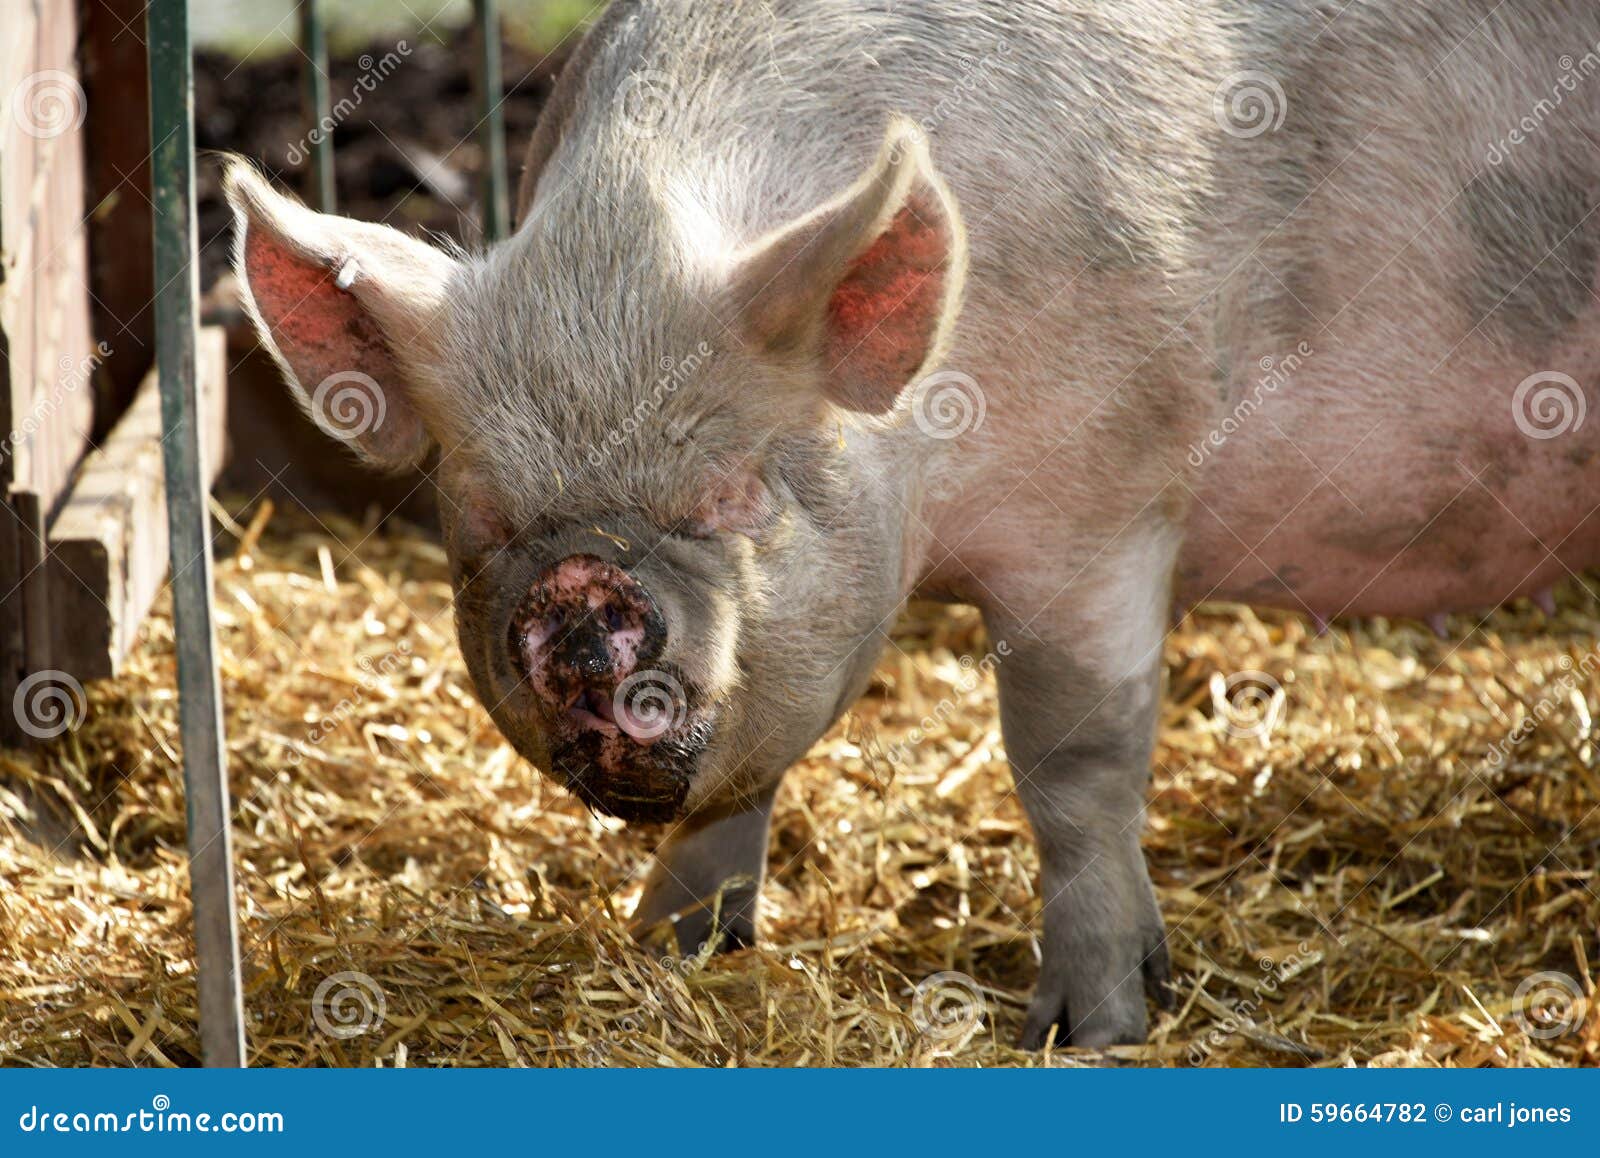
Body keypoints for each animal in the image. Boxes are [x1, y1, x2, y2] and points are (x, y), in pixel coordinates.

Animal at [226, 0, 1600, 1048]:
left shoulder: (1106, 503)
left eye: (738, 485)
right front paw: (667, 954)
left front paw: (1090, 1029)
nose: (580, 595)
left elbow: (1073, 767)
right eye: (487, 517)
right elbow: (742, 790)